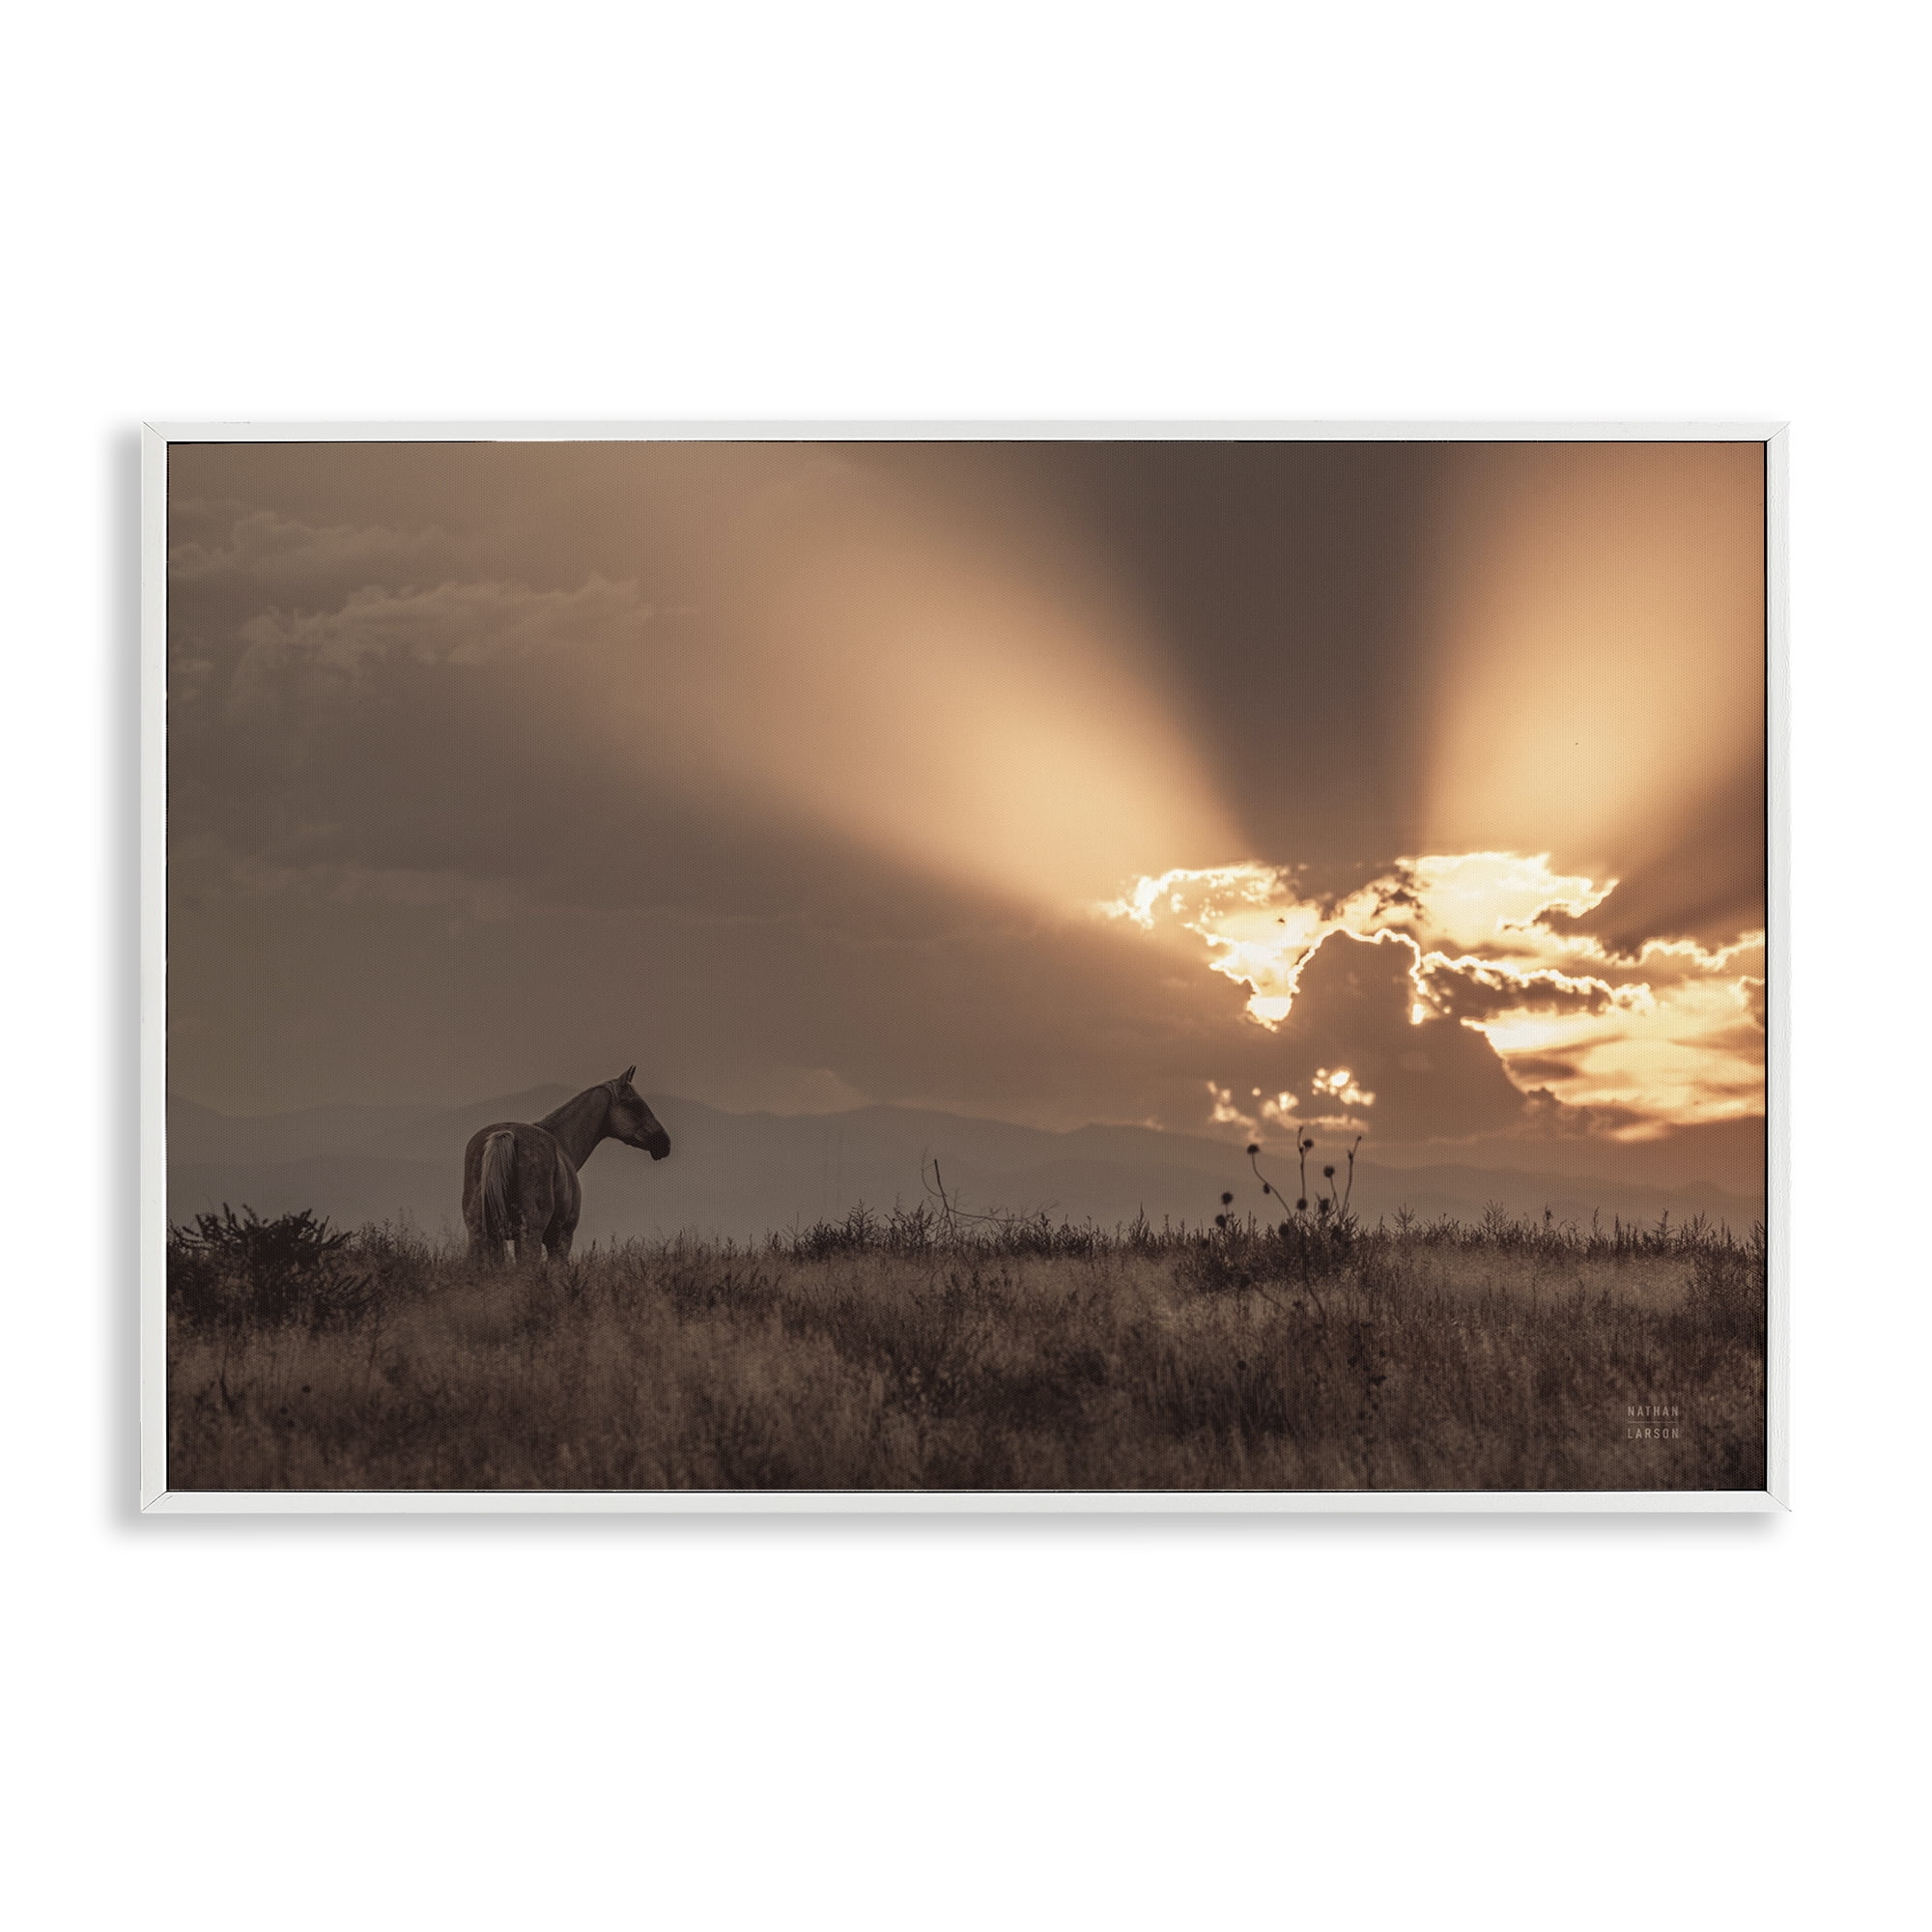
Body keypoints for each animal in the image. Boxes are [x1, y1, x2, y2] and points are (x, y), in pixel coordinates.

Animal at [461, 1066, 670, 1267]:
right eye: (634, 1103)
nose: (664, 1142)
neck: (561, 1141)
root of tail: (506, 1135)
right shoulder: (561, 1238)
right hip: (529, 1235)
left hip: (481, 1235)